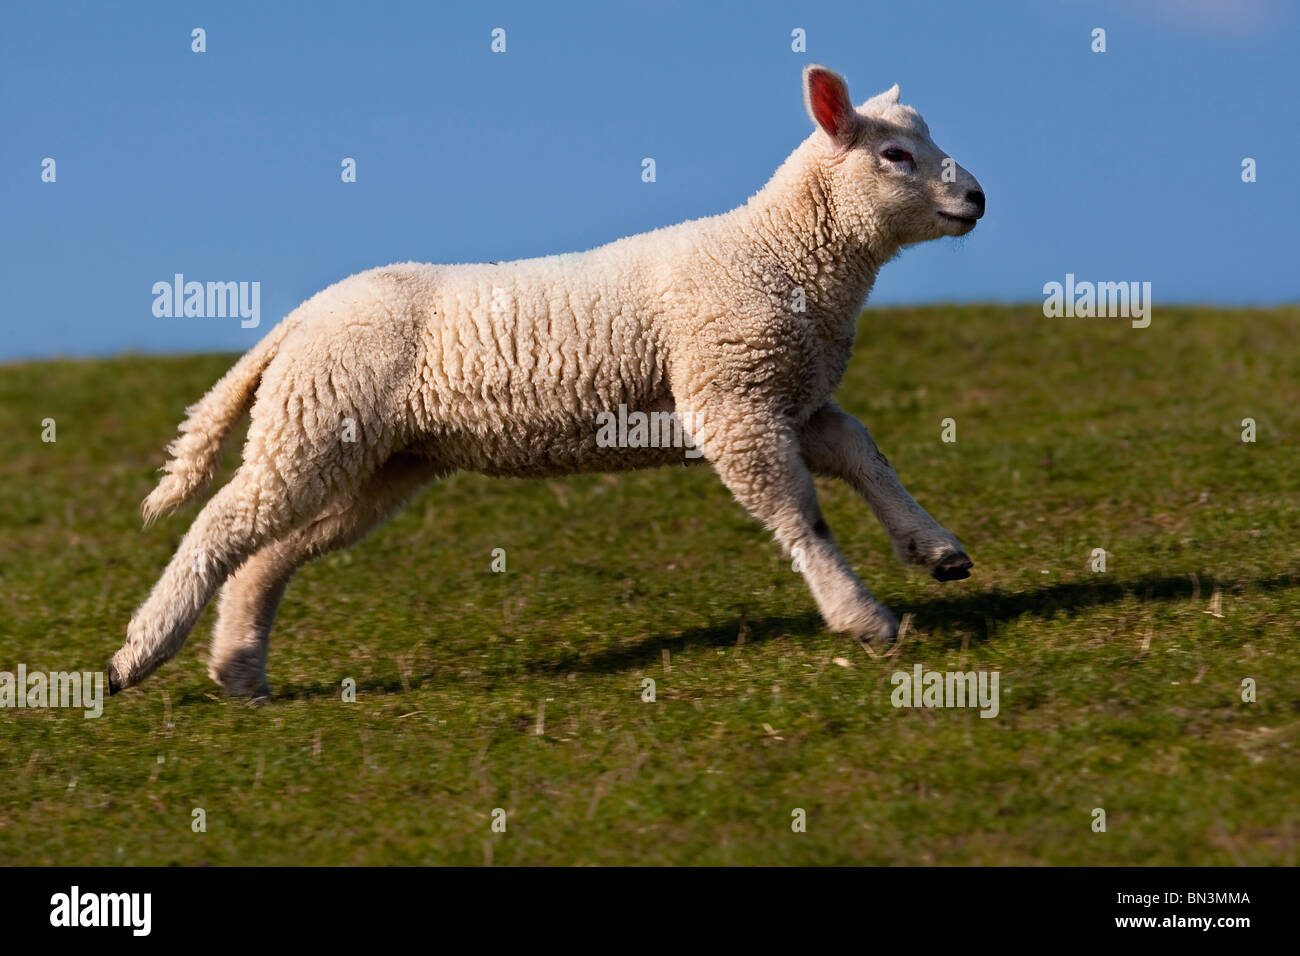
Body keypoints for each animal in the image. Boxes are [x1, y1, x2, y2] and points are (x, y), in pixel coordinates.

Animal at [108, 65, 986, 698]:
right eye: (895, 156)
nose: (976, 198)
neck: (782, 252)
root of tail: (300, 318)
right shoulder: (731, 395)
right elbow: (800, 512)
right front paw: (863, 619)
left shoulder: (787, 393)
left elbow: (863, 452)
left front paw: (936, 549)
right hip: (318, 416)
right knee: (222, 524)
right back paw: (135, 658)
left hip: (381, 454)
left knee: (273, 550)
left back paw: (240, 672)